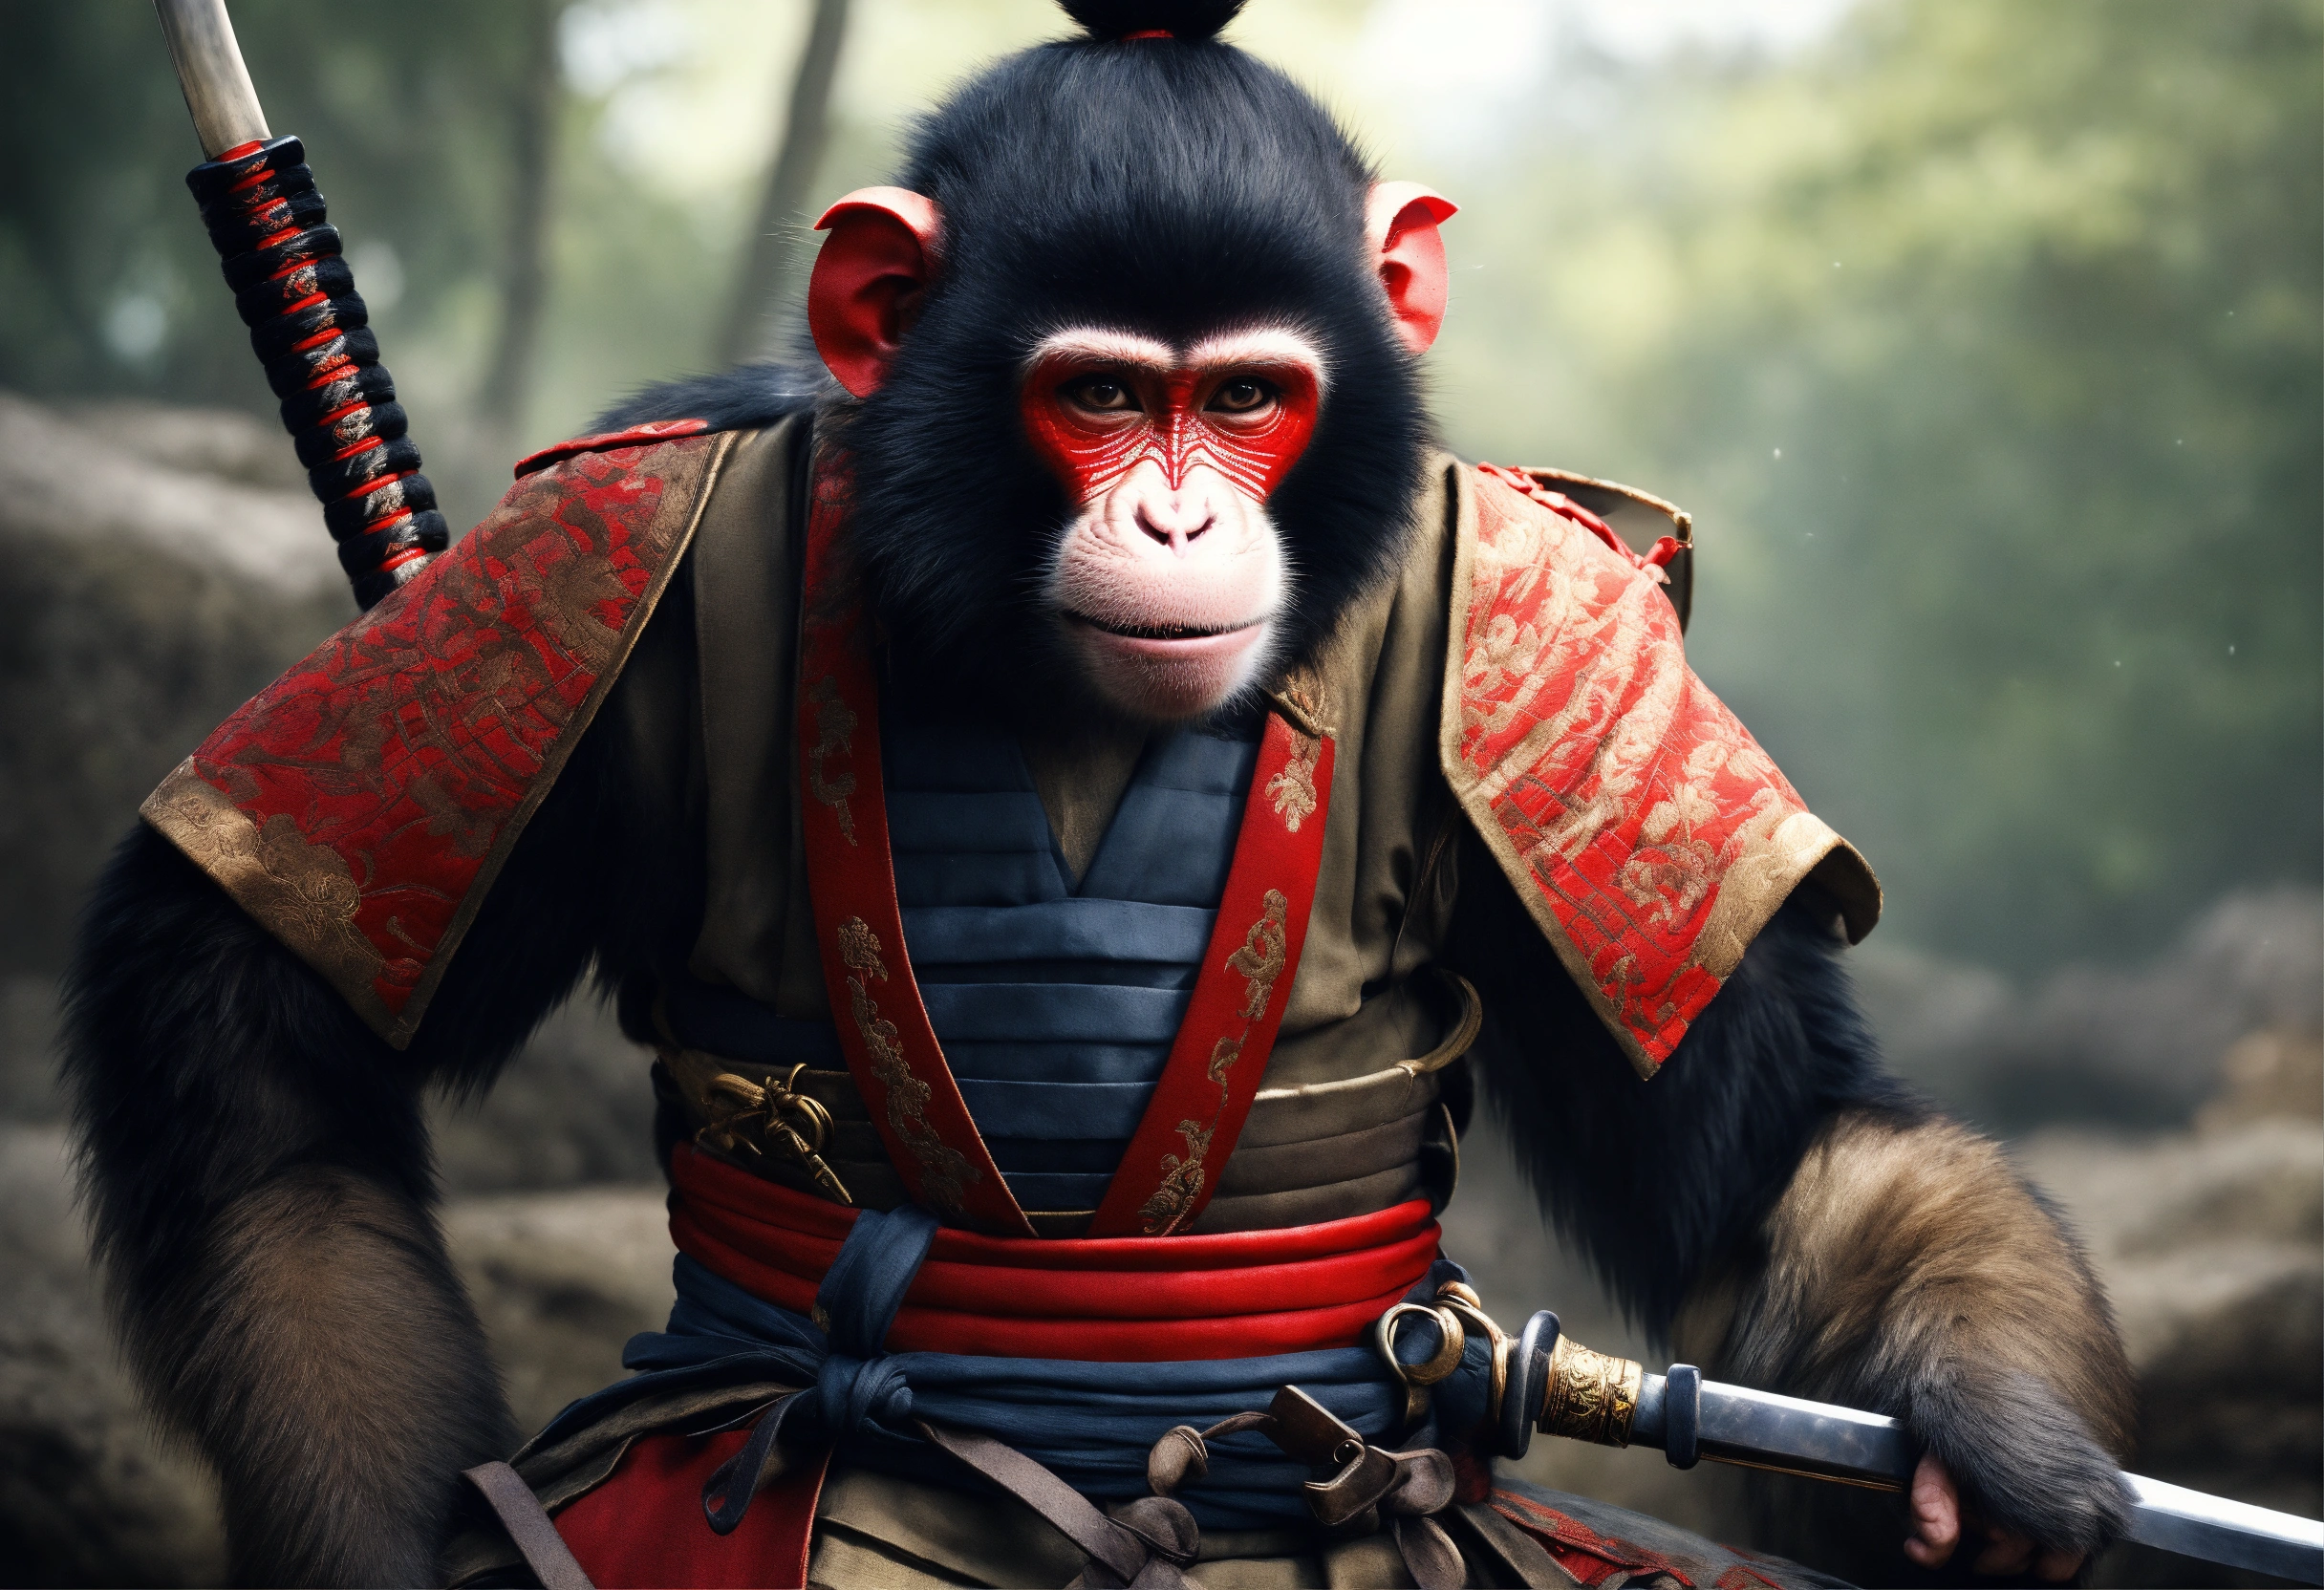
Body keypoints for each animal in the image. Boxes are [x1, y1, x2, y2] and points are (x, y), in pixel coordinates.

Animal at [63, 3, 2134, 1585]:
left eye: (1246, 399)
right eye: (1100, 395)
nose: (1175, 520)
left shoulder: (1552, 630)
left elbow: (1769, 1143)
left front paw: (1994, 1438)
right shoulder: (591, 555)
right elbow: (259, 1022)